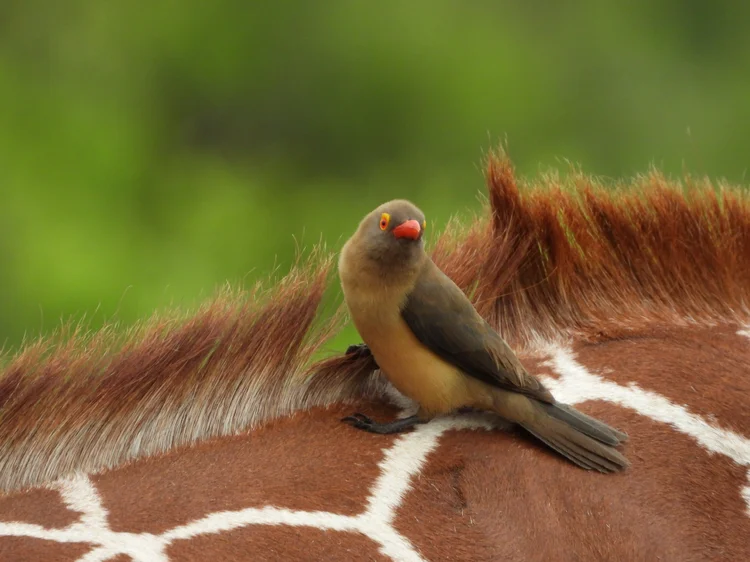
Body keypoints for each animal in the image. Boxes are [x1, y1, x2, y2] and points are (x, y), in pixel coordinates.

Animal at [1, 152, 749, 561]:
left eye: (415, 225)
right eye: (390, 221)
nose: (414, 229)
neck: (380, 277)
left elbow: (418, 409)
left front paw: (374, 411)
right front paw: (357, 347)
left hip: (478, 373)